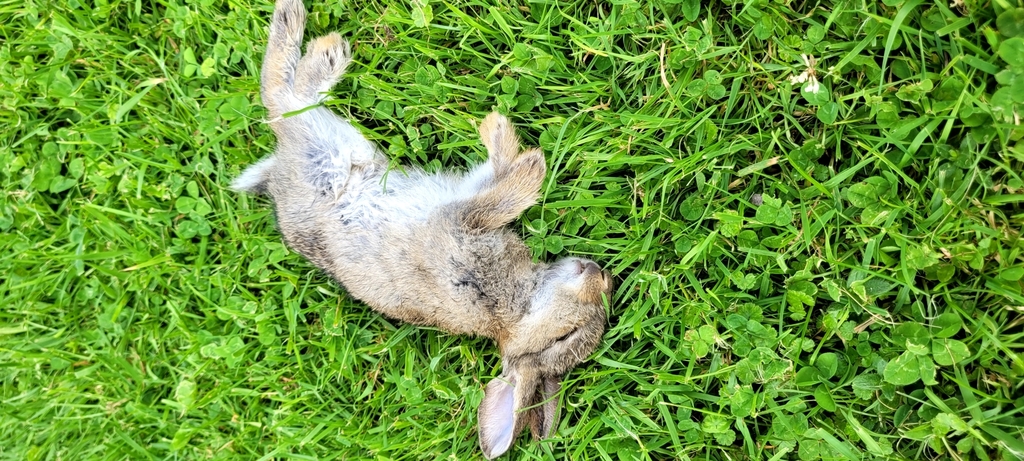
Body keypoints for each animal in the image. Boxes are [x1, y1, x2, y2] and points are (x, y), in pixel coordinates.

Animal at [231, 0, 612, 458]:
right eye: (566, 336)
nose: (602, 277)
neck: (515, 306)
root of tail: (277, 180)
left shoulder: (461, 219)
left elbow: (504, 192)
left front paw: (508, 143)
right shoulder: (463, 214)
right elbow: (506, 184)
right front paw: (504, 134)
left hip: (322, 146)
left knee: (283, 98)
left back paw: (318, 45)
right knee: (280, 97)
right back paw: (320, 42)